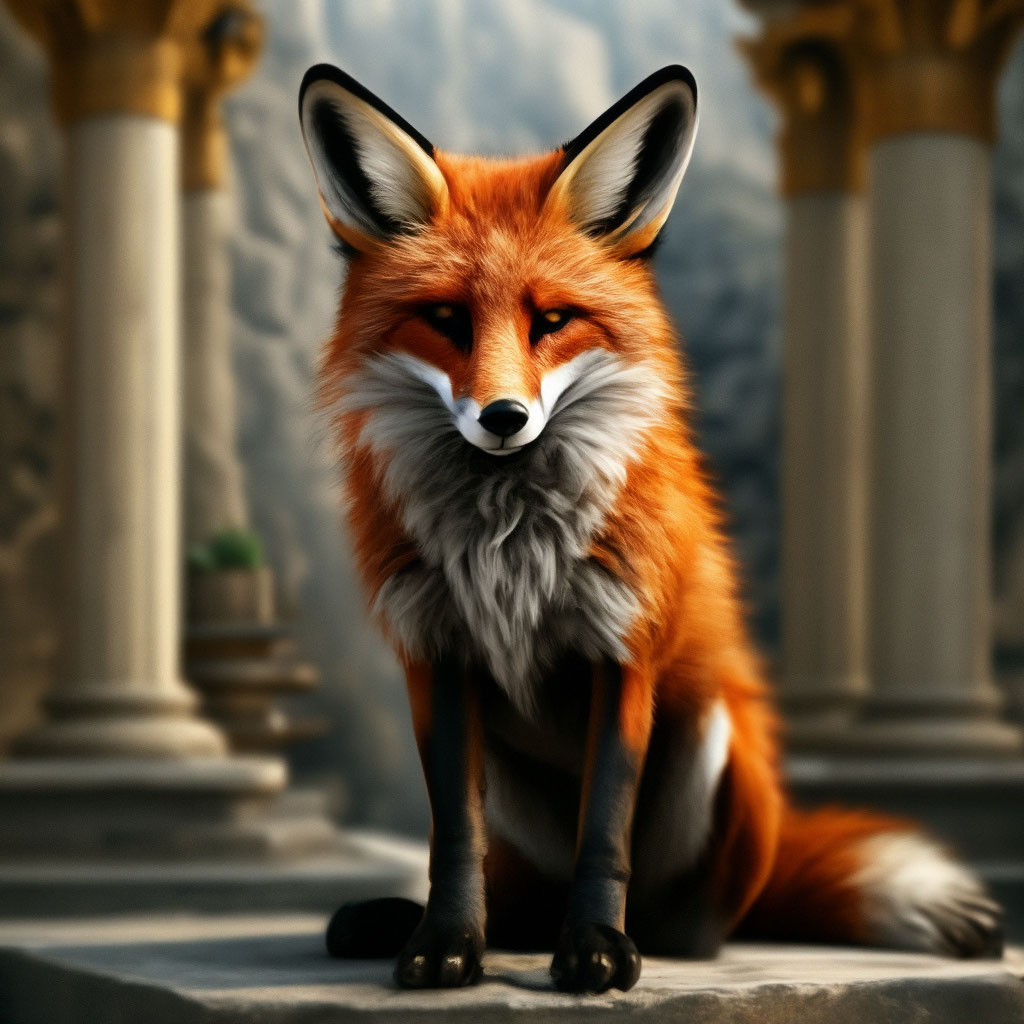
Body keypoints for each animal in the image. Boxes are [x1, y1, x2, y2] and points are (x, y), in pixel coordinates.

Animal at [298, 63, 1003, 993]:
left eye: (552, 320)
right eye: (447, 320)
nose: (504, 417)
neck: (508, 546)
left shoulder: (622, 649)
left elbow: (607, 829)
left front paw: (596, 946)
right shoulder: (437, 652)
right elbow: (453, 835)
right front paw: (445, 943)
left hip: (710, 733)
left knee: (683, 918)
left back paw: (653, 937)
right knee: (513, 890)